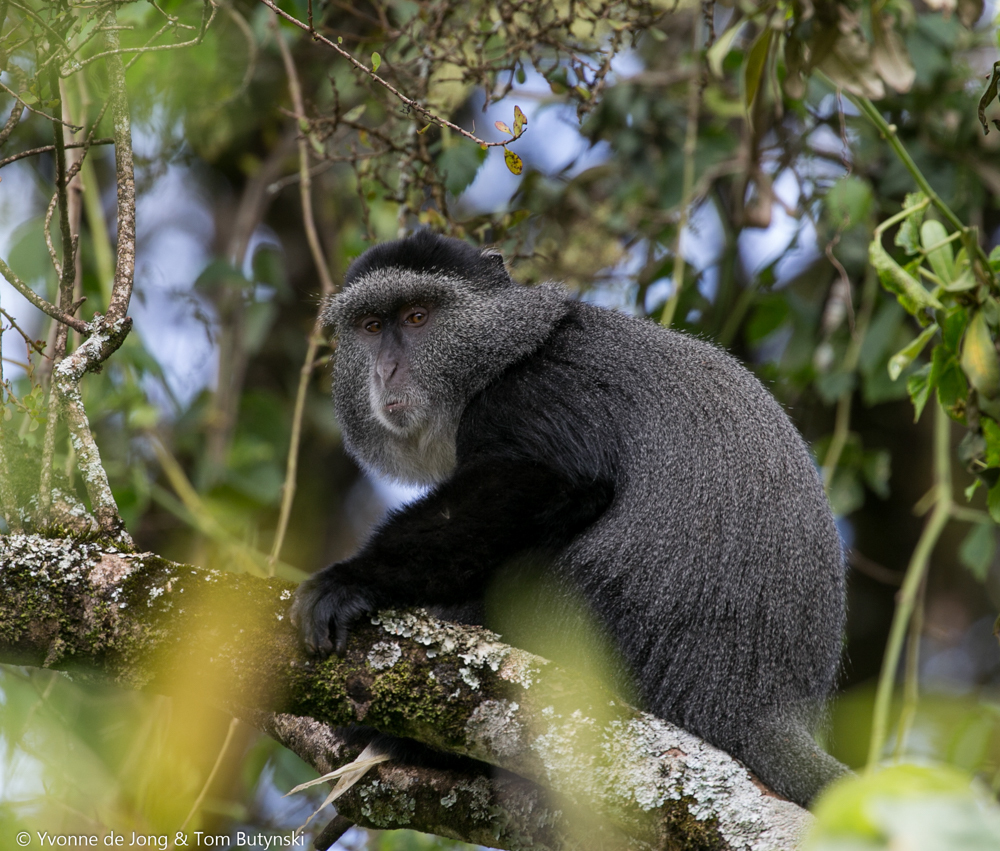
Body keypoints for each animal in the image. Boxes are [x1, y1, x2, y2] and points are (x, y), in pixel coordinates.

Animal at [291, 229, 849, 807]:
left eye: (418, 317)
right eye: (371, 327)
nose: (385, 370)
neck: (506, 351)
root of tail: (759, 709)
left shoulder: (539, 393)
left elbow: (544, 479)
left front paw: (351, 581)